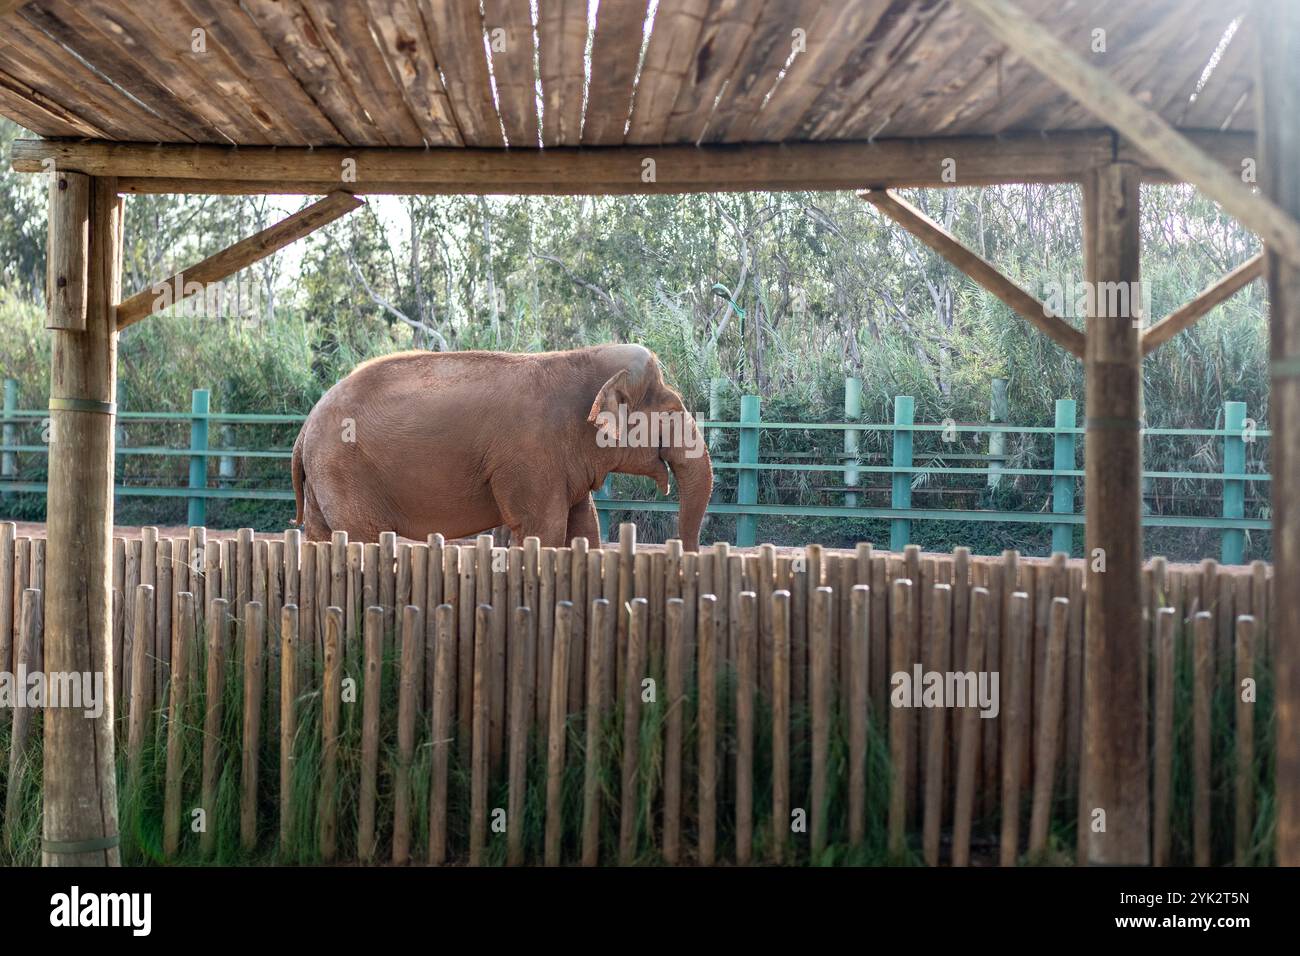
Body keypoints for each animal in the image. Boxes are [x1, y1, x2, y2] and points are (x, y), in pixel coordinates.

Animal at [291, 343, 714, 550]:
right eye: (672, 411)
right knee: (363, 536)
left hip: (324, 477)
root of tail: (305, 426)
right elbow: (545, 528)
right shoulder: (531, 456)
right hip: (343, 471)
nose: (688, 551)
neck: (582, 359)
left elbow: (584, 528)